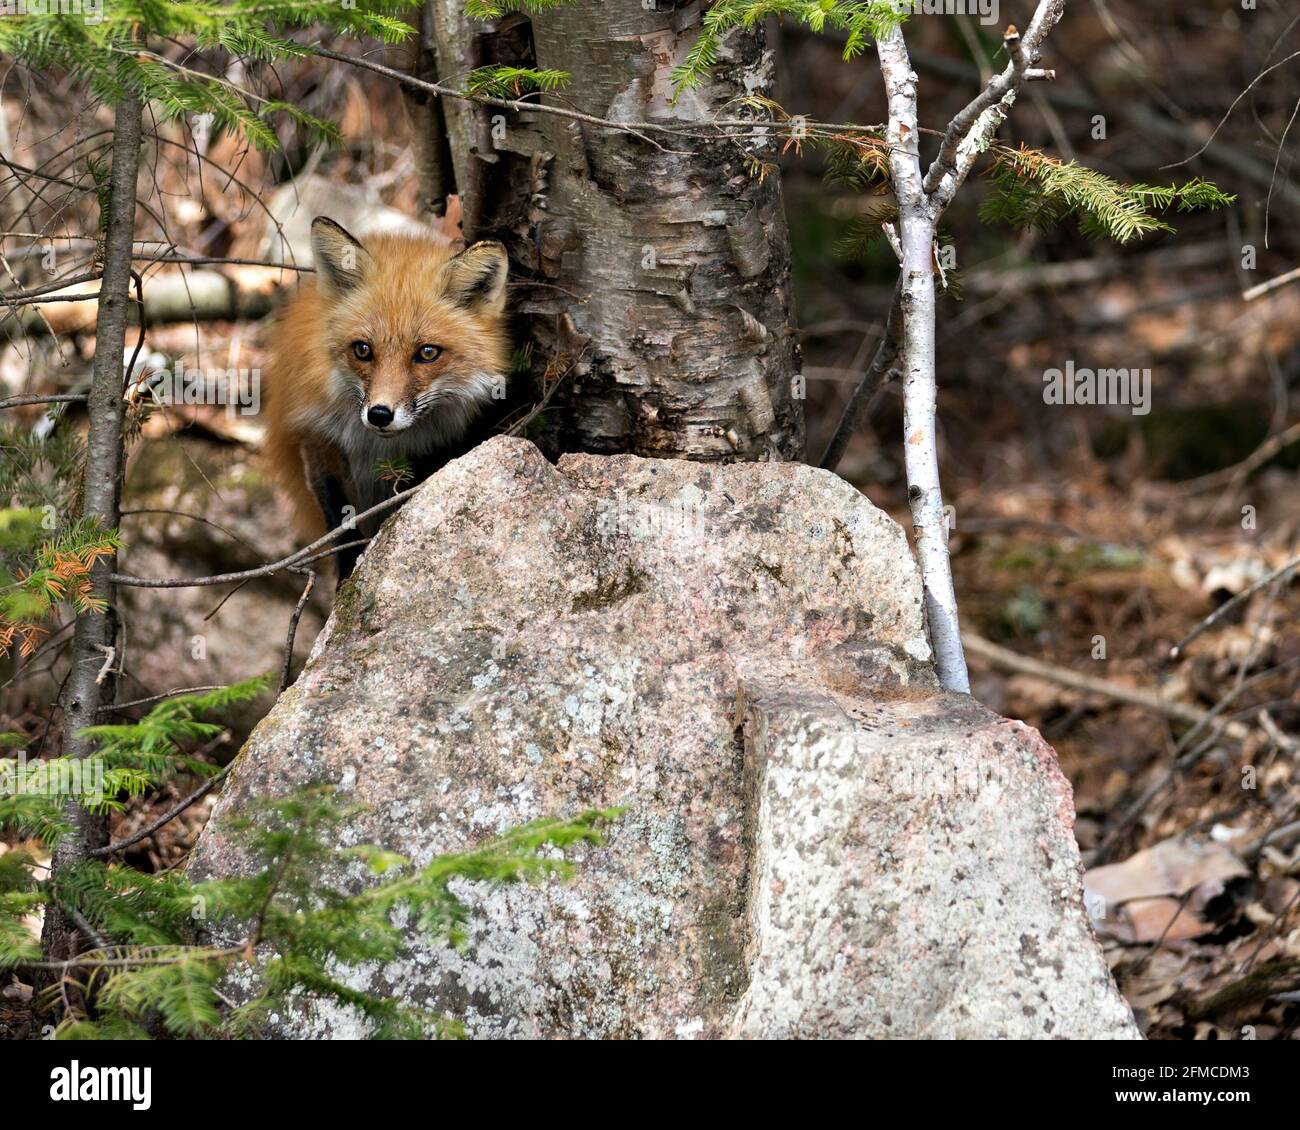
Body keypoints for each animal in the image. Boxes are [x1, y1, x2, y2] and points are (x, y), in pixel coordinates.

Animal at [264, 216, 510, 584]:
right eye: (362, 350)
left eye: (427, 353)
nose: (380, 414)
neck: (377, 449)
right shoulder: (317, 442)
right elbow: (340, 523)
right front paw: (346, 580)